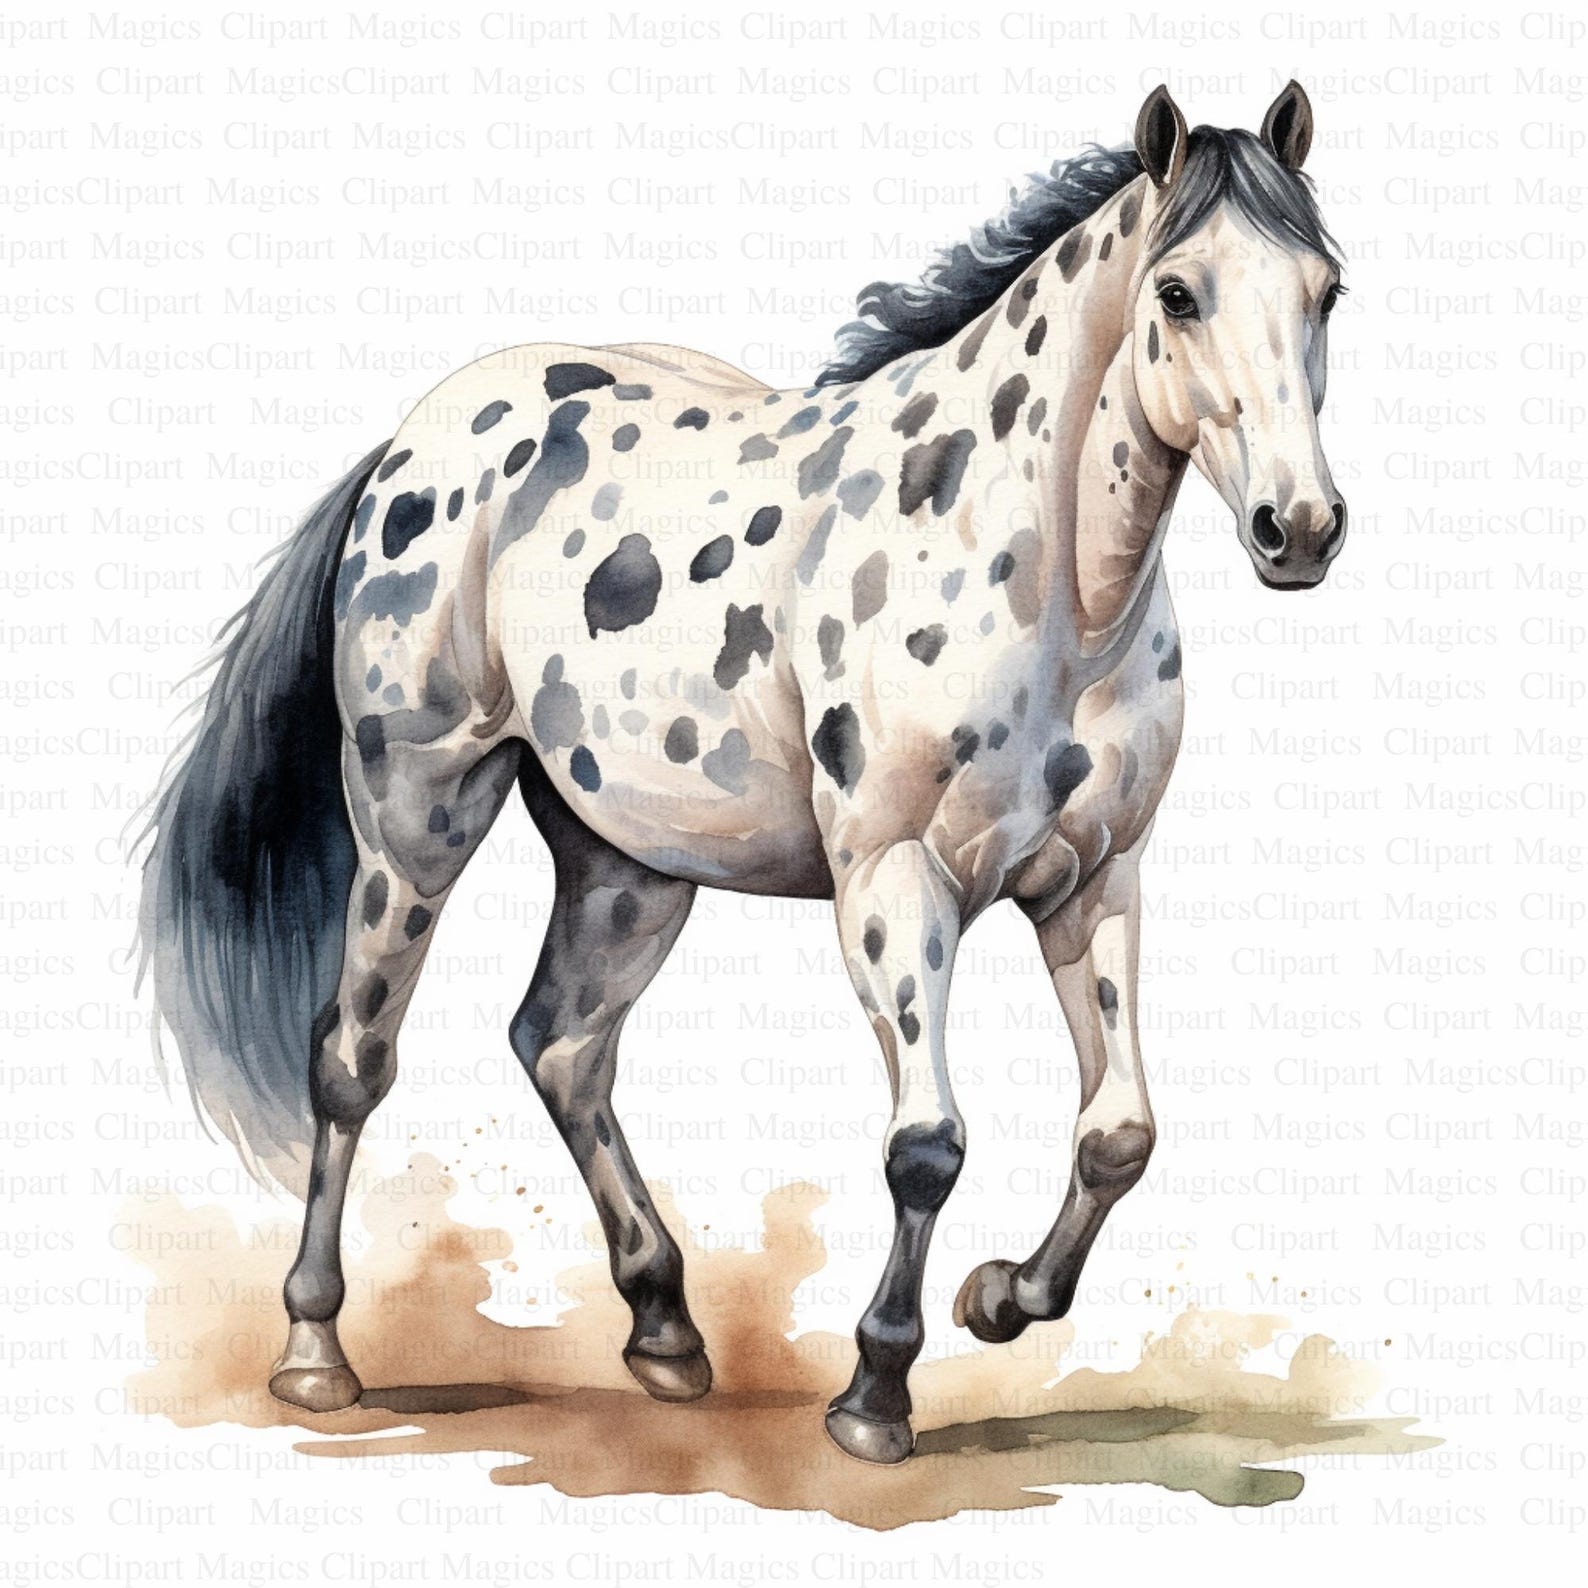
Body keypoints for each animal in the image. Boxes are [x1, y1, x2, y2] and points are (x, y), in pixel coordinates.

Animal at [140, 82, 1348, 1465]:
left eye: (1325, 290)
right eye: (1180, 293)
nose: (1300, 529)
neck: (1045, 581)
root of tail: (412, 445)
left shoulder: (1094, 881)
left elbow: (1119, 1134)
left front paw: (998, 1299)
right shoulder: (893, 881)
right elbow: (926, 1145)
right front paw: (874, 1393)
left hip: (628, 862)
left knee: (561, 1046)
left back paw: (666, 1331)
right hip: (416, 813)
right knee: (353, 1056)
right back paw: (314, 1353)